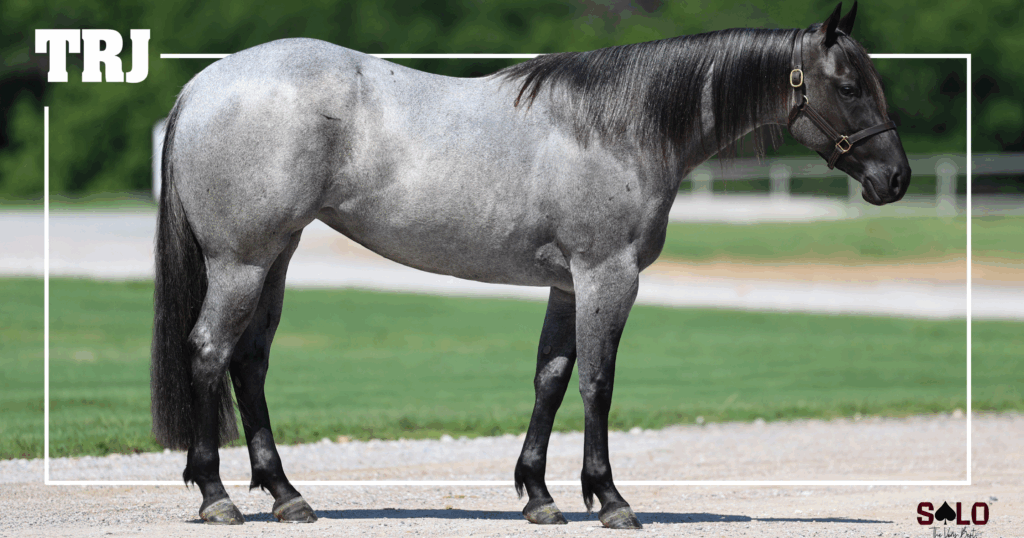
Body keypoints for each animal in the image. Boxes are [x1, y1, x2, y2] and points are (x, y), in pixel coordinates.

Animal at [151, 1, 910, 529]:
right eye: (848, 85)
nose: (896, 179)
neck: (619, 127)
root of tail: (203, 86)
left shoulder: (567, 286)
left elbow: (551, 378)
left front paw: (540, 496)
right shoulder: (608, 276)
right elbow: (598, 383)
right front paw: (610, 498)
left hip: (275, 256)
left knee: (249, 362)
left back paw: (287, 496)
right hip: (242, 261)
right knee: (209, 351)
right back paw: (217, 497)